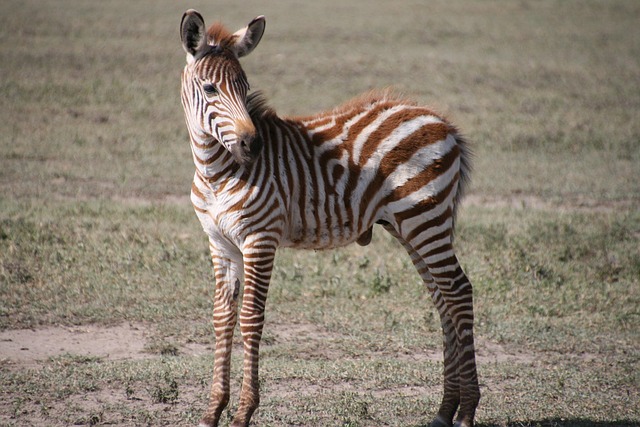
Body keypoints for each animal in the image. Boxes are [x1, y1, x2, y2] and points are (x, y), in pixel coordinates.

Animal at [180, 10, 480, 427]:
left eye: (244, 87)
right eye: (210, 89)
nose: (253, 145)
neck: (215, 172)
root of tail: (442, 121)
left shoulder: (260, 239)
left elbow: (251, 319)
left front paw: (242, 413)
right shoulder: (220, 243)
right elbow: (223, 319)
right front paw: (212, 411)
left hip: (425, 220)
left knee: (459, 291)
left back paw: (466, 412)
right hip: (412, 226)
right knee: (443, 297)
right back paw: (445, 410)